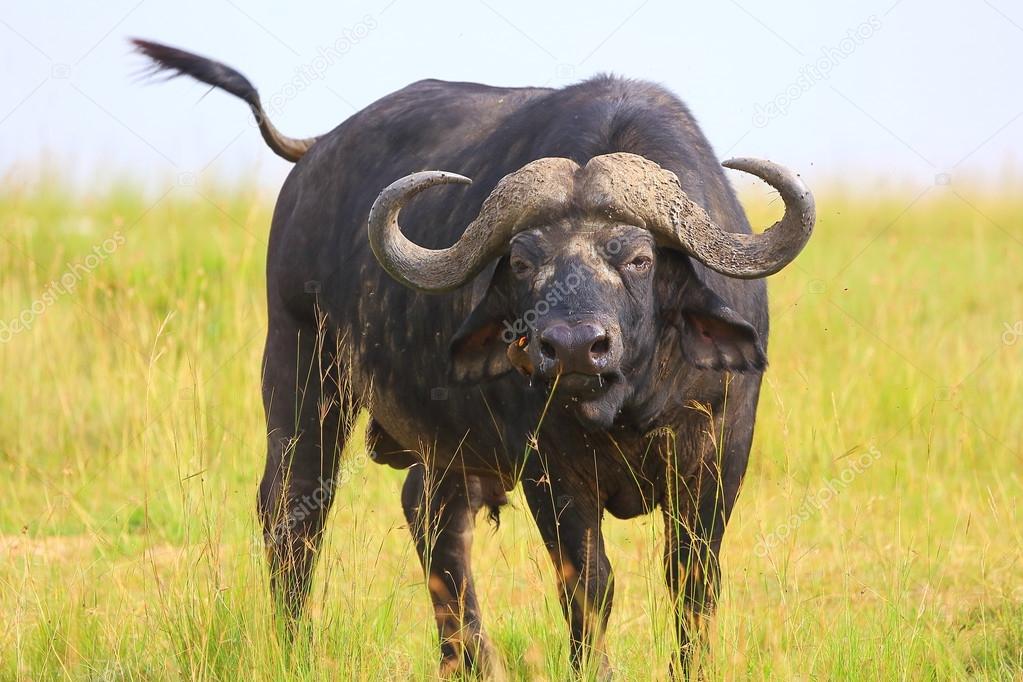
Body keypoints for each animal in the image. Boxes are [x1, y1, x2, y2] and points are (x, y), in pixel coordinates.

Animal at [134, 39, 814, 679]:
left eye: (639, 258)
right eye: (523, 261)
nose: (572, 347)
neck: (623, 404)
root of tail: (315, 153)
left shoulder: (720, 453)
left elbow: (692, 582)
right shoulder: (549, 468)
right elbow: (589, 584)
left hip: (442, 442)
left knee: (430, 513)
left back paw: (468, 660)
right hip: (300, 360)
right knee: (294, 509)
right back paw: (297, 649)